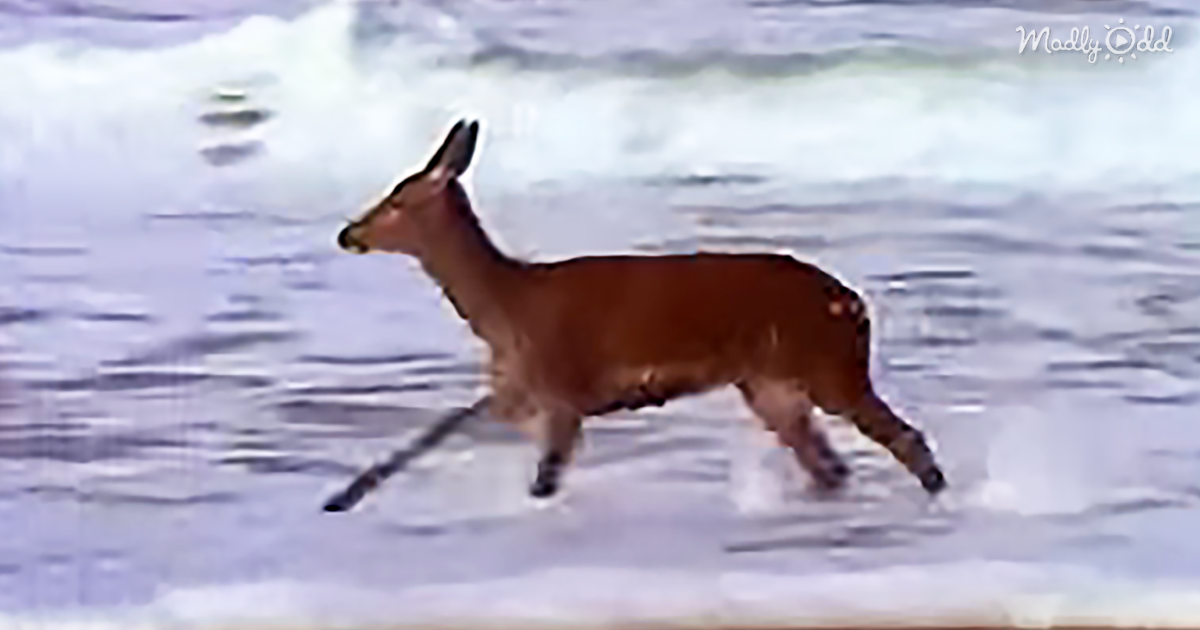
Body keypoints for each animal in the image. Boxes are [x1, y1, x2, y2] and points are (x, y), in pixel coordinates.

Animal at [333, 119, 947, 505]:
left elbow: (542, 478)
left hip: (828, 367)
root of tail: (855, 305)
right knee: (831, 467)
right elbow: (444, 424)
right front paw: (344, 496)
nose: (348, 234)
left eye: (397, 200)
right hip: (769, 385)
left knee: (906, 440)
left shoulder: (562, 389)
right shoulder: (521, 390)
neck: (507, 307)